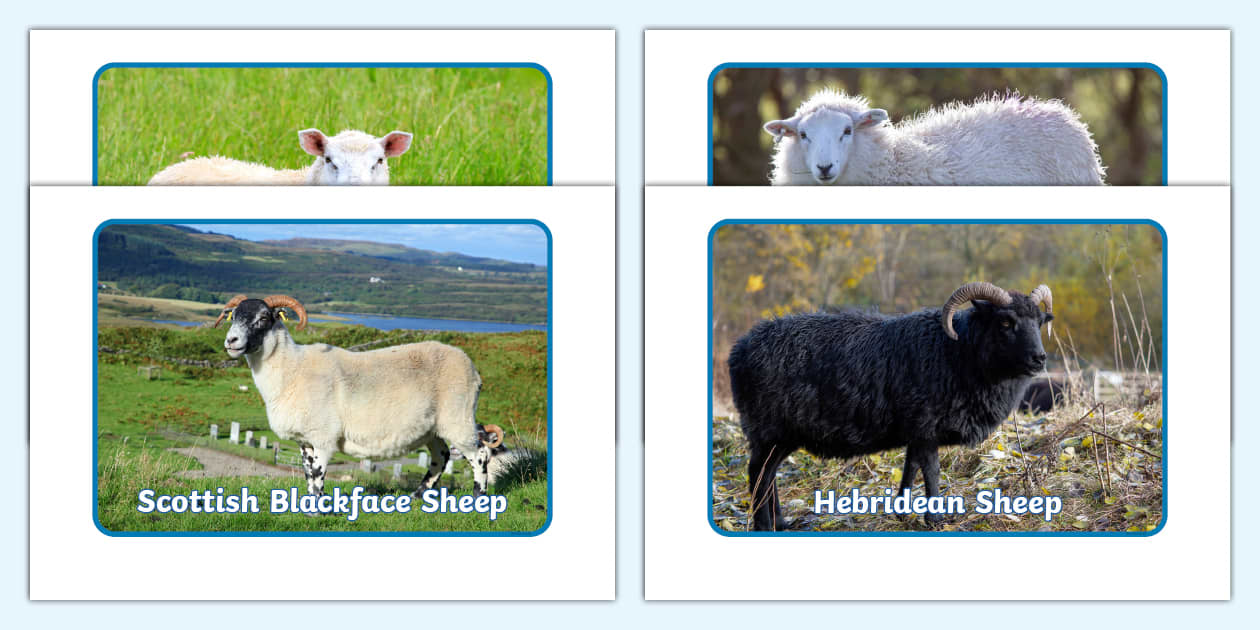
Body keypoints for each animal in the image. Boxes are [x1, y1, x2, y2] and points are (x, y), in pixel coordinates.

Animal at [214, 294, 502, 500]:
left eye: (263, 317)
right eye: (233, 316)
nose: (231, 341)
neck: (292, 369)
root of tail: (473, 368)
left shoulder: (323, 436)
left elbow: (318, 474)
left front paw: (318, 511)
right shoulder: (304, 440)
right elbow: (308, 475)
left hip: (458, 418)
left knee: (480, 455)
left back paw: (478, 498)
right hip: (432, 428)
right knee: (441, 457)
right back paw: (416, 497)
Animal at [728, 282, 1054, 531]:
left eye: (1039, 322)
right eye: (1005, 322)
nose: (1040, 358)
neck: (957, 351)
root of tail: (738, 350)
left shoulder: (916, 431)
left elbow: (910, 468)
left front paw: (902, 512)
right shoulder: (926, 426)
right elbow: (931, 471)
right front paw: (934, 519)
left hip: (780, 434)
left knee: (768, 474)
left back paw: (780, 522)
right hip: (770, 428)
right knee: (759, 473)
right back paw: (764, 525)